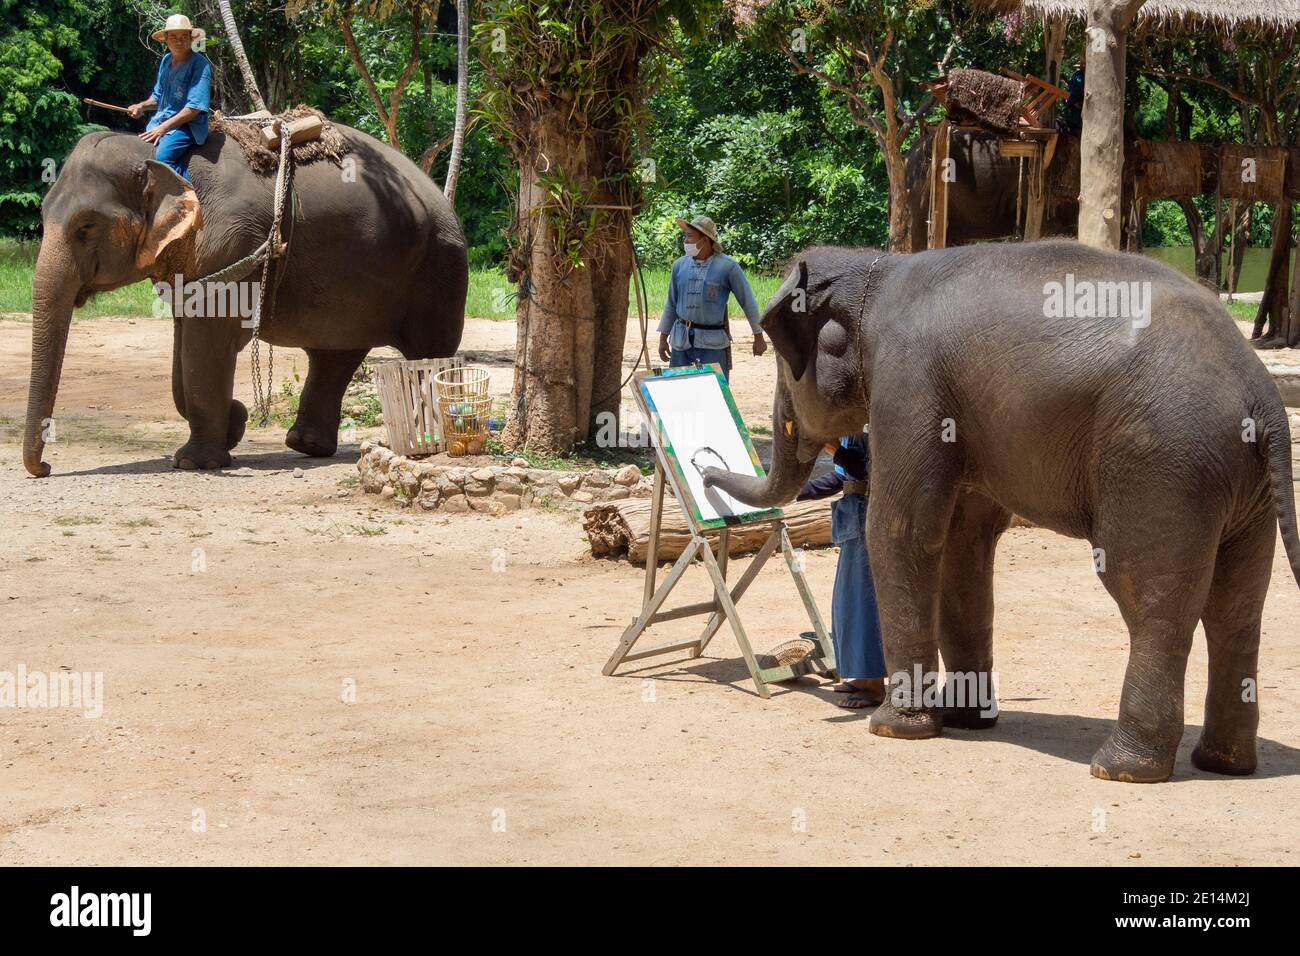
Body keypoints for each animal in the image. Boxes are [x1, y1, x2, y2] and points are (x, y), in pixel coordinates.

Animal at [24, 124, 467, 477]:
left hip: (440, 271)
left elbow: (206, 344)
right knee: (334, 355)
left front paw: (196, 461)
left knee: (430, 354)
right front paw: (233, 425)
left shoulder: (231, 242)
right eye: (43, 215)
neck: (159, 157)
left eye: (86, 227)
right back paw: (306, 445)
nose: (44, 467)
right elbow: (185, 349)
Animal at [703, 240, 1300, 783]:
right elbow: (964, 544)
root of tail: (1264, 398)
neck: (876, 264)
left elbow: (903, 529)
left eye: (783, 366)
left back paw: (1120, 769)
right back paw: (1224, 764)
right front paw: (966, 721)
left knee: (1151, 597)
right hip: (1243, 492)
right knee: (1236, 608)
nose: (705, 470)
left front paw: (896, 729)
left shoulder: (909, 384)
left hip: (1162, 467)